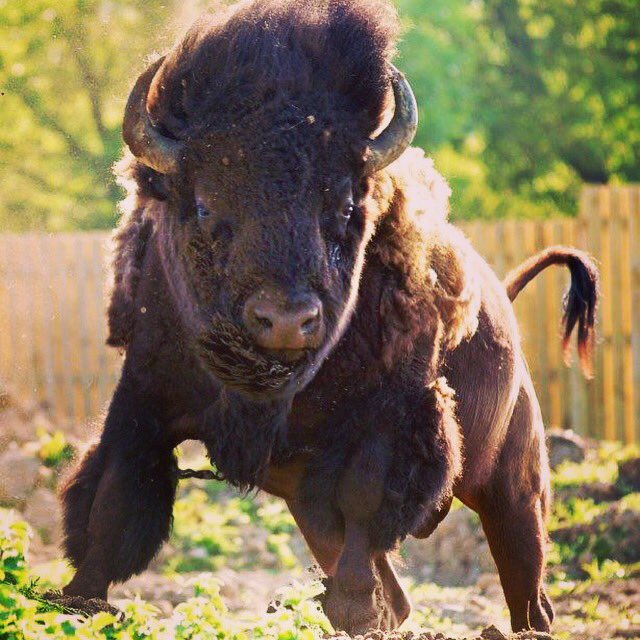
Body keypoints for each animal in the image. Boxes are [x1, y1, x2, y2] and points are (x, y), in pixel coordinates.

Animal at [51, 0, 598, 635]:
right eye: (205, 205)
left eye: (343, 205)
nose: (287, 319)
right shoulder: (144, 397)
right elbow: (113, 498)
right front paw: (79, 600)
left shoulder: (386, 420)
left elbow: (367, 500)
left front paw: (354, 605)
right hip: (303, 493)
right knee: (391, 581)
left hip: (513, 482)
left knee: (524, 575)